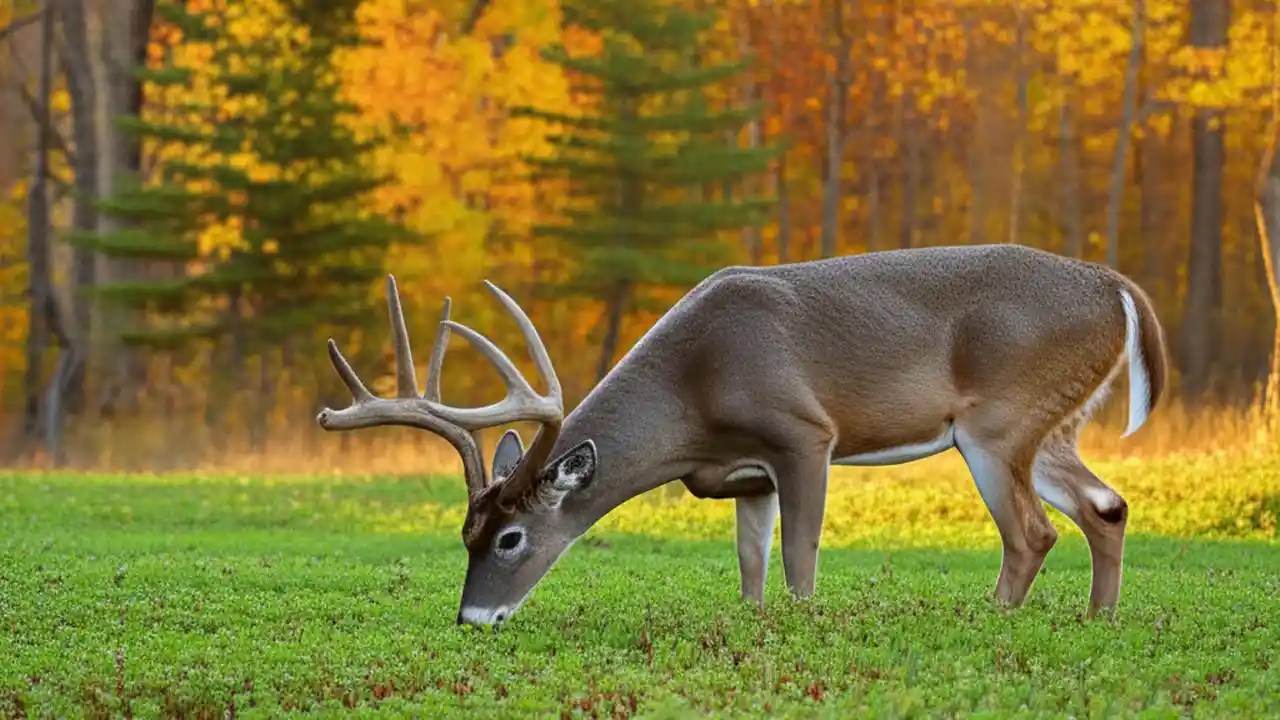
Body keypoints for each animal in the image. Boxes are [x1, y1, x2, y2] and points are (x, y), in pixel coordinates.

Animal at [316, 243, 1167, 627]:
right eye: (464, 534)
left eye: (510, 538)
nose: (472, 620)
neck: (693, 401)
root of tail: (1119, 288)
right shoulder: (743, 476)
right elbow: (751, 565)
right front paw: (758, 626)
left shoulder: (804, 433)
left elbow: (799, 556)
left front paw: (802, 626)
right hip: (1051, 424)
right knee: (1107, 508)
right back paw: (1099, 619)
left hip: (997, 422)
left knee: (1031, 532)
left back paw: (992, 619)